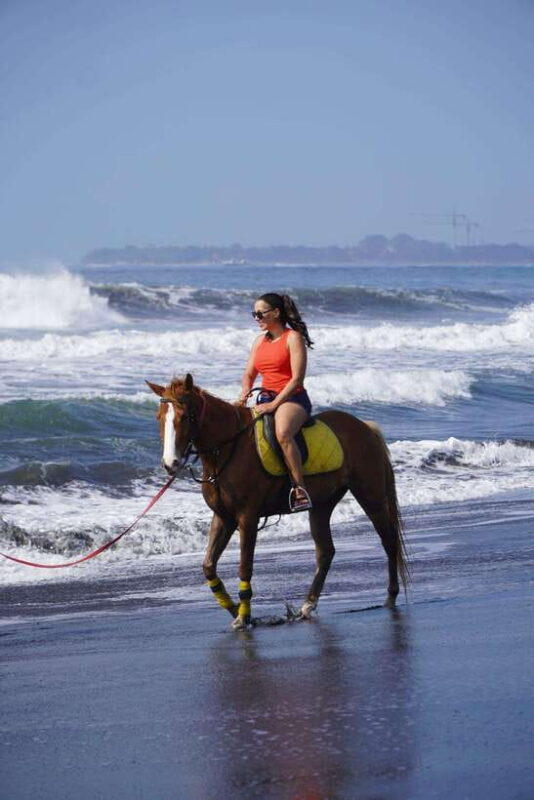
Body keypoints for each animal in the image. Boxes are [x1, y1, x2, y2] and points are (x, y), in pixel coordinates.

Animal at [147, 374, 409, 629]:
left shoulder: (247, 517)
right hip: (322, 505)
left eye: (186, 416)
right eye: (159, 417)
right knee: (326, 552)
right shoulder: (223, 518)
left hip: (370, 495)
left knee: (389, 541)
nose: (170, 463)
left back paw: (390, 596)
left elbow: (245, 565)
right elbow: (208, 566)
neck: (228, 449)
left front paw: (244, 616)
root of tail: (364, 427)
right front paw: (236, 610)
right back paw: (307, 605)